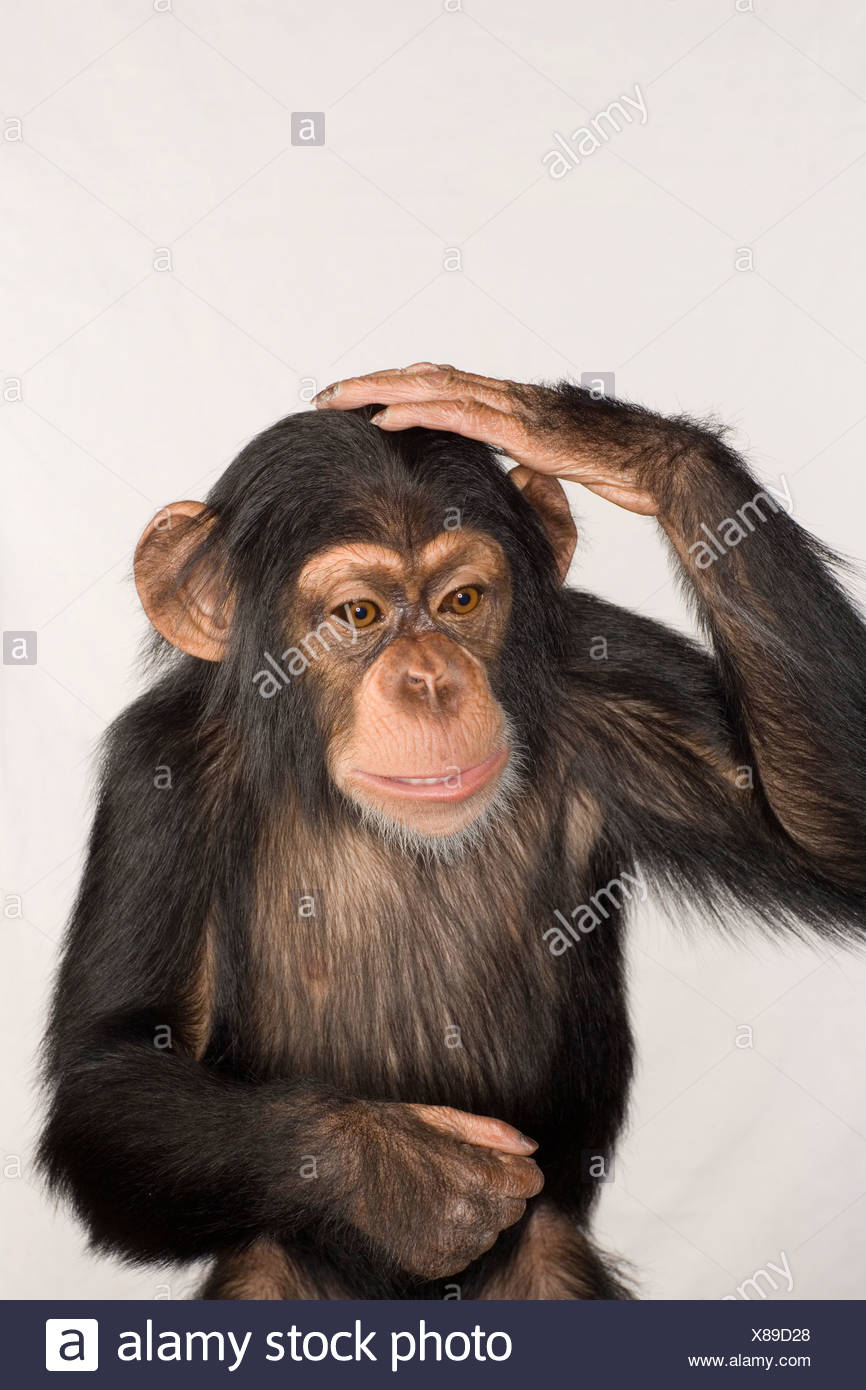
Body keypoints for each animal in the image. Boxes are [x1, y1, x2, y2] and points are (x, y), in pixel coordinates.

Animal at [39, 363, 866, 1300]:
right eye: (360, 615)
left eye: (461, 600)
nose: (431, 679)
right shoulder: (160, 778)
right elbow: (112, 1070)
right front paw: (404, 1179)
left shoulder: (604, 674)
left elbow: (821, 839)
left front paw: (587, 435)